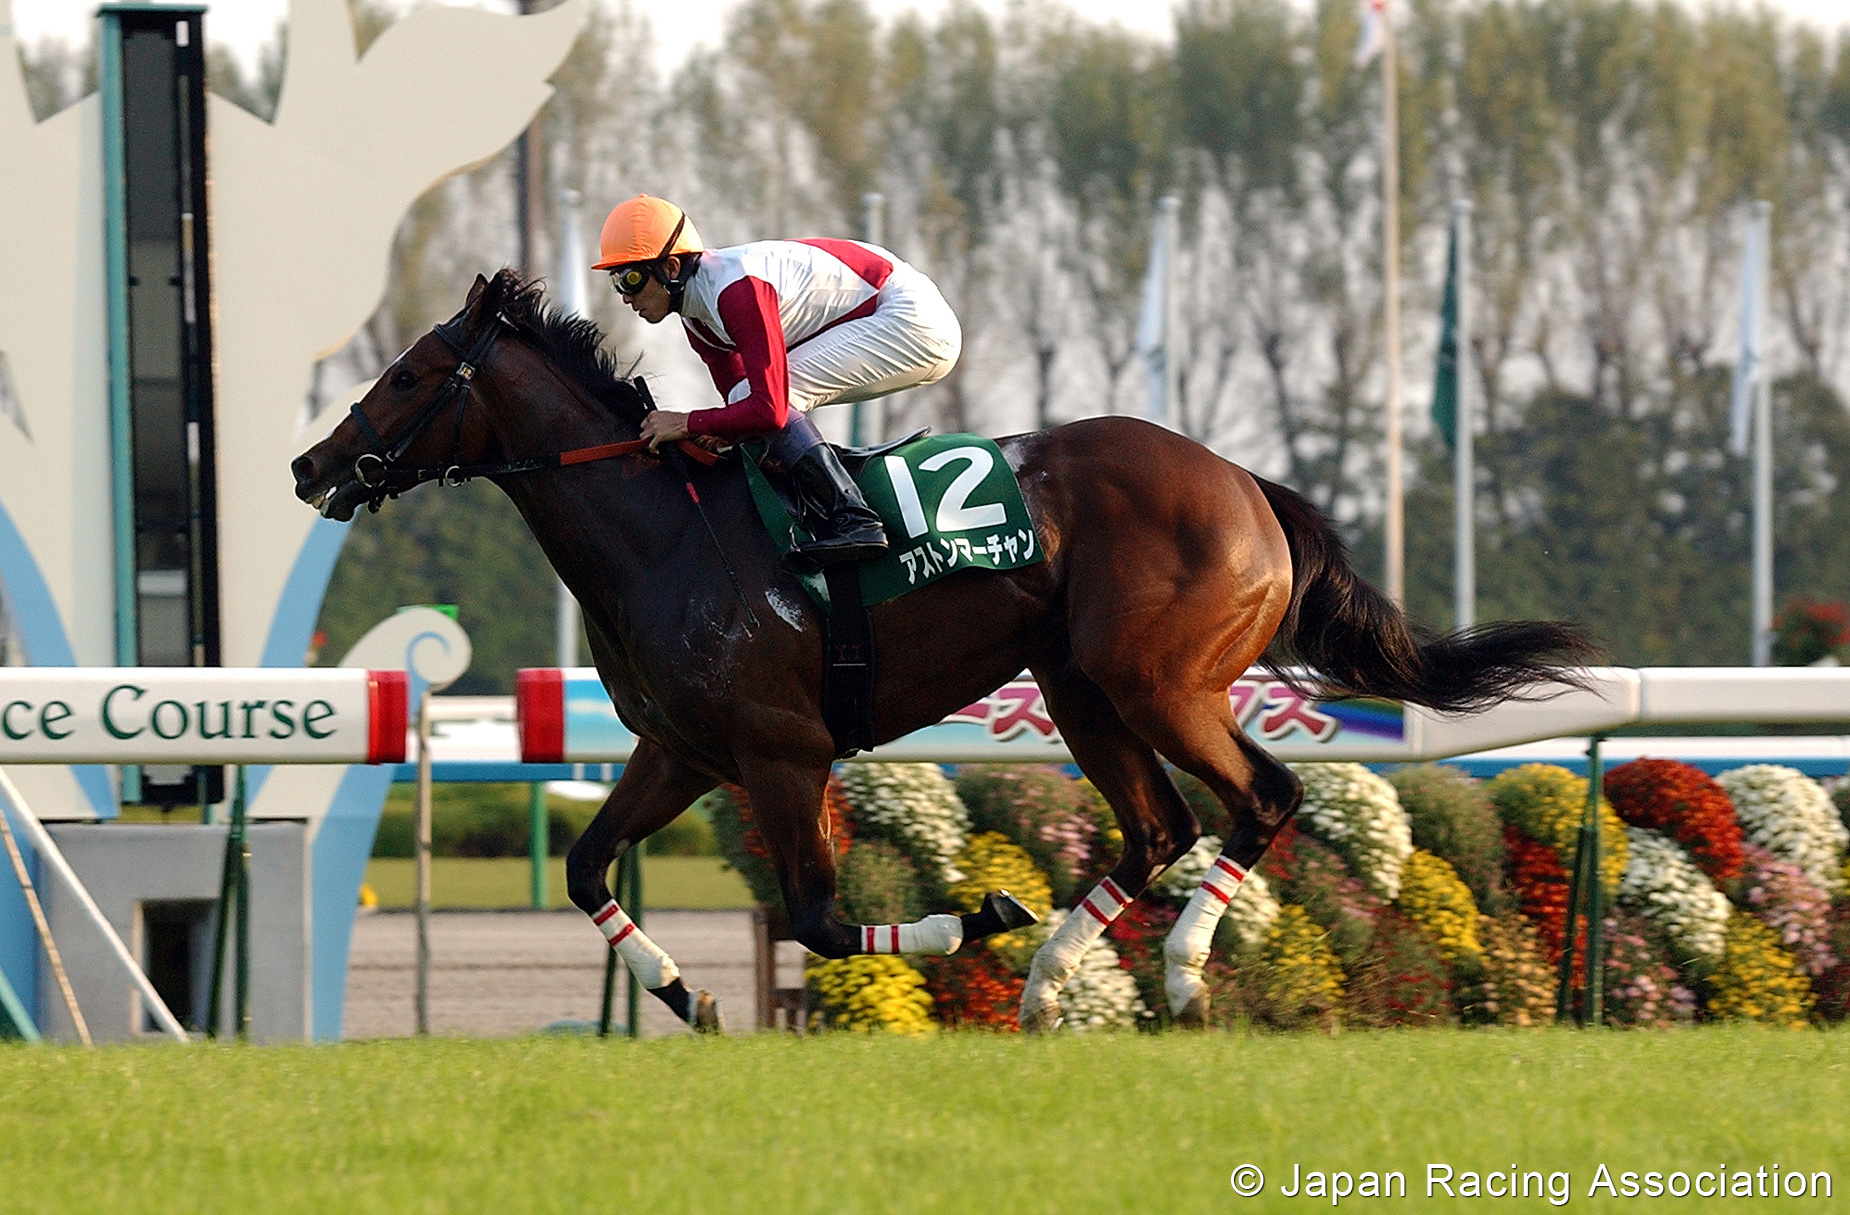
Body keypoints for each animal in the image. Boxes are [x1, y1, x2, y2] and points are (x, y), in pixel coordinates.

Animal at [293, 269, 1596, 1031]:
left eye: (408, 373)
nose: (311, 466)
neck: (662, 534)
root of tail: (1243, 484)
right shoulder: (683, 752)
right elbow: (581, 869)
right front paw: (686, 995)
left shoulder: (782, 755)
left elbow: (820, 919)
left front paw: (977, 918)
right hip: (1079, 685)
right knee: (1158, 825)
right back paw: (1046, 984)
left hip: (1156, 678)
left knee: (1260, 797)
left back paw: (1170, 973)